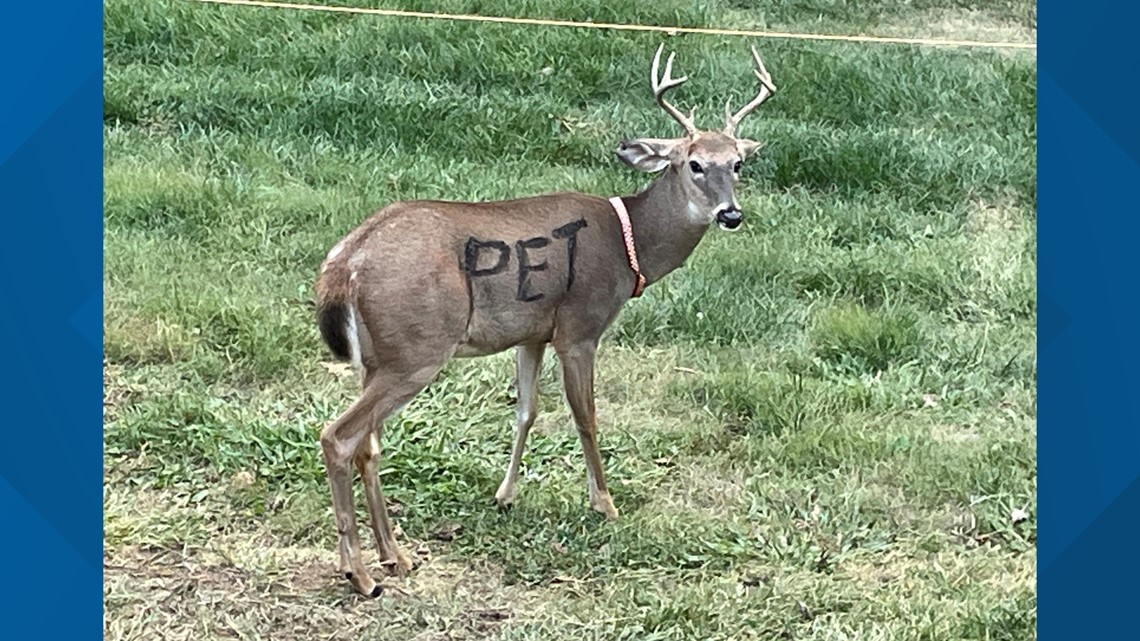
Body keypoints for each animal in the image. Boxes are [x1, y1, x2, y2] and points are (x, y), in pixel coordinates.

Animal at [313, 43, 777, 597]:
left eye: (738, 162)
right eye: (694, 164)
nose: (731, 214)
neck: (631, 246)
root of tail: (345, 262)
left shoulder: (531, 331)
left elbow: (526, 411)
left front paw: (505, 495)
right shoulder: (580, 325)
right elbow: (586, 416)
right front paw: (604, 503)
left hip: (375, 356)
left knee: (369, 445)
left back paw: (395, 556)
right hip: (417, 347)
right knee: (340, 436)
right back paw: (360, 573)